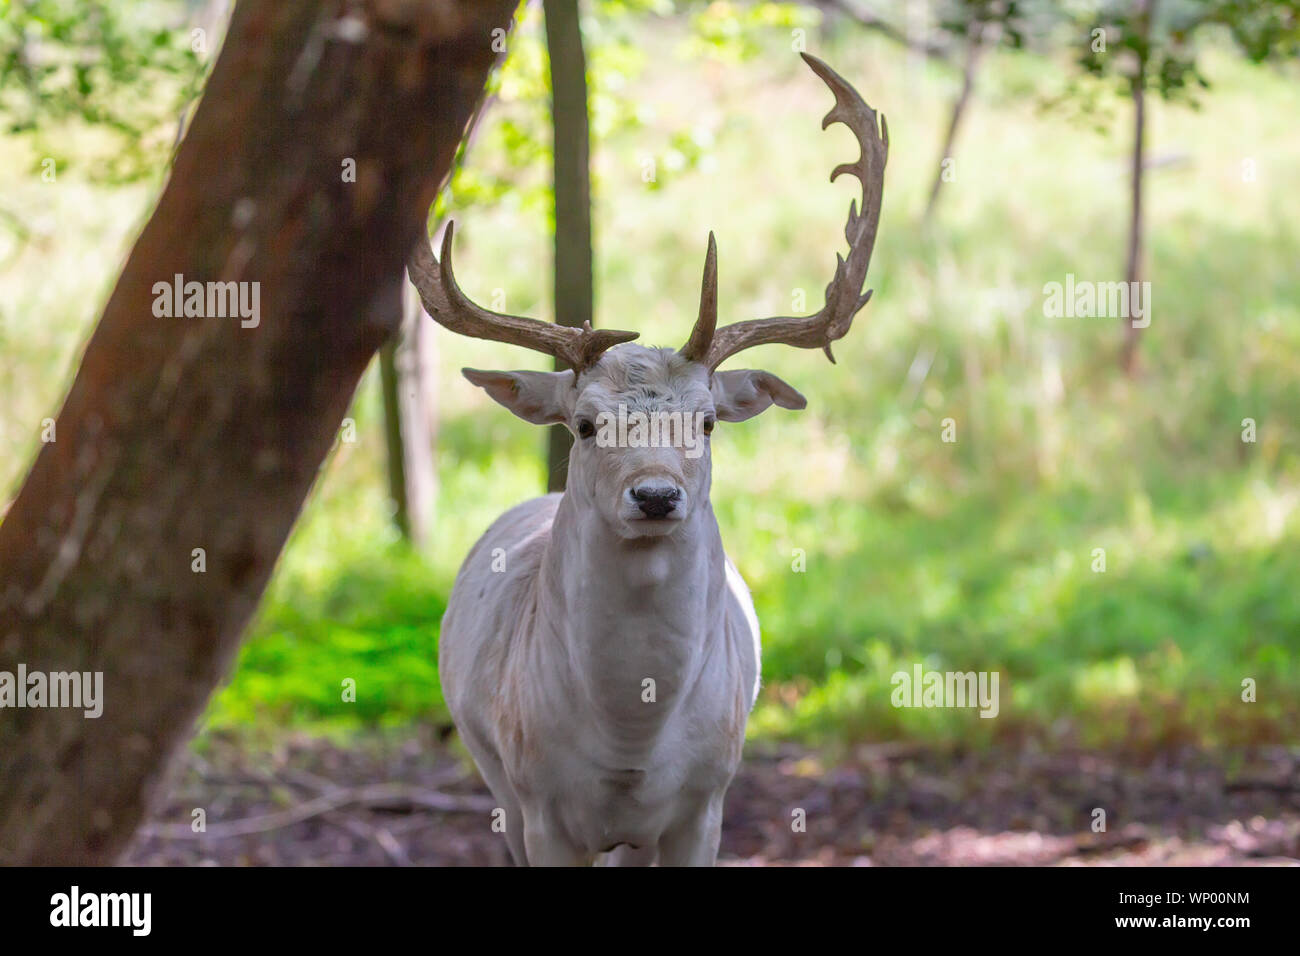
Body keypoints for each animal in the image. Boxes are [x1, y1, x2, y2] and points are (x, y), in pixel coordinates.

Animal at [406, 53, 887, 866]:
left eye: (709, 422)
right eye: (583, 424)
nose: (657, 496)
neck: (630, 740)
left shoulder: (706, 802)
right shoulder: (540, 803)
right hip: (493, 773)